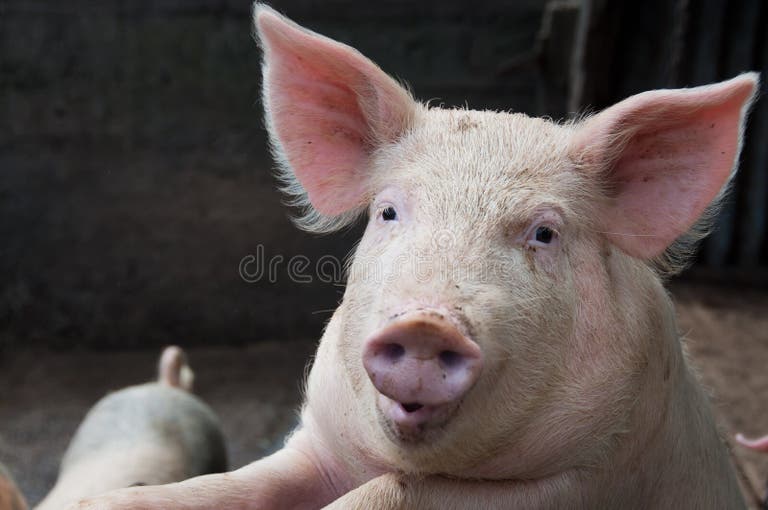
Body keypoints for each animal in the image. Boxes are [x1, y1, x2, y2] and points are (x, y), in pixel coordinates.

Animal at [68, 5, 758, 509]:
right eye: (388, 213)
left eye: (544, 233)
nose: (428, 324)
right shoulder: (318, 440)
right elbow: (234, 486)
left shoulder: (581, 477)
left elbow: (381, 496)